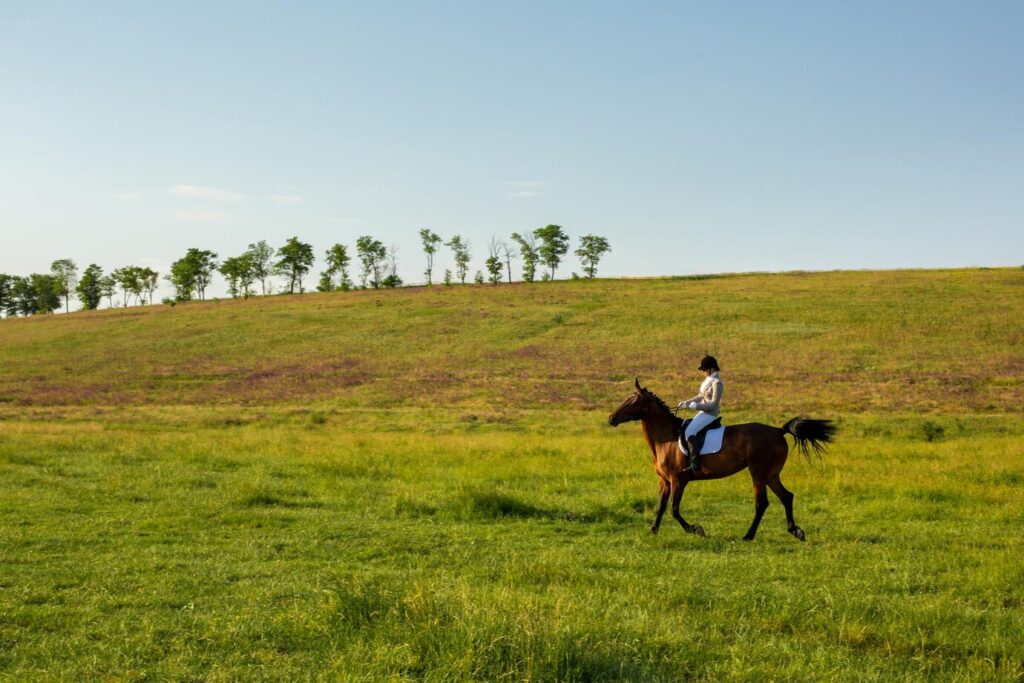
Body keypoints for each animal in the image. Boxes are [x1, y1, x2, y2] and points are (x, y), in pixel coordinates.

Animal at [606, 376, 831, 540]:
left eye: (633, 400)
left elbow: (674, 509)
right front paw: (652, 531)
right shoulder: (665, 481)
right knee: (786, 496)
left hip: (758, 473)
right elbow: (661, 507)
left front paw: (696, 530)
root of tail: (778, 430)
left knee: (762, 503)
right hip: (771, 474)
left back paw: (748, 536)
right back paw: (796, 531)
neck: (666, 439)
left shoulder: (679, 480)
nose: (611, 418)